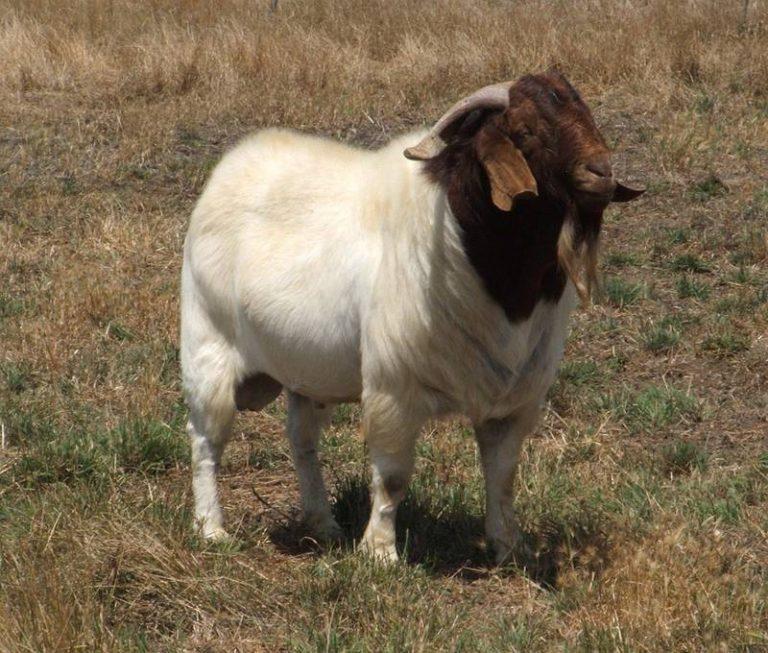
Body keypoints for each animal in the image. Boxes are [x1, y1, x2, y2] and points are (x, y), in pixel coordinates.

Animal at [180, 70, 644, 563]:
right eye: (525, 131)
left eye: (585, 114)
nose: (601, 174)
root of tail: (230, 167)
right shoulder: (392, 389)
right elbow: (392, 477)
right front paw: (380, 553)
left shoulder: (517, 399)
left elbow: (502, 477)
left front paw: (508, 549)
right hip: (207, 352)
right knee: (205, 442)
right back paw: (211, 529)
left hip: (307, 374)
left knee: (302, 442)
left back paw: (323, 524)